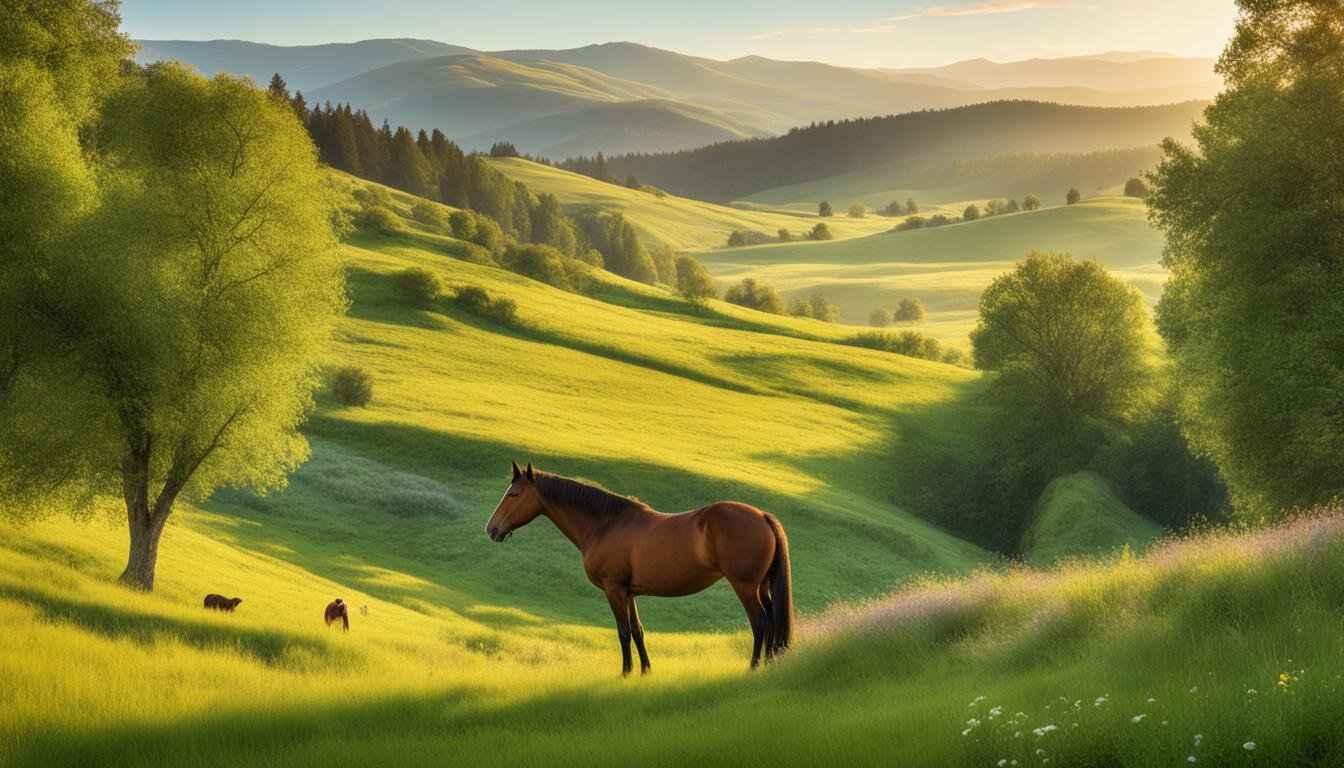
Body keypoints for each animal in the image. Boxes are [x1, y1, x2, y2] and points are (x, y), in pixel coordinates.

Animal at [485, 461, 793, 675]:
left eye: (513, 494)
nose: (491, 529)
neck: (607, 524)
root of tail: (762, 516)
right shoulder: (629, 592)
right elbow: (637, 630)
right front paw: (645, 671)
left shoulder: (613, 589)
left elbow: (622, 631)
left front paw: (626, 672)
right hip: (761, 585)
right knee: (772, 620)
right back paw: (772, 664)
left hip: (744, 586)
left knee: (760, 621)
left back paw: (754, 667)